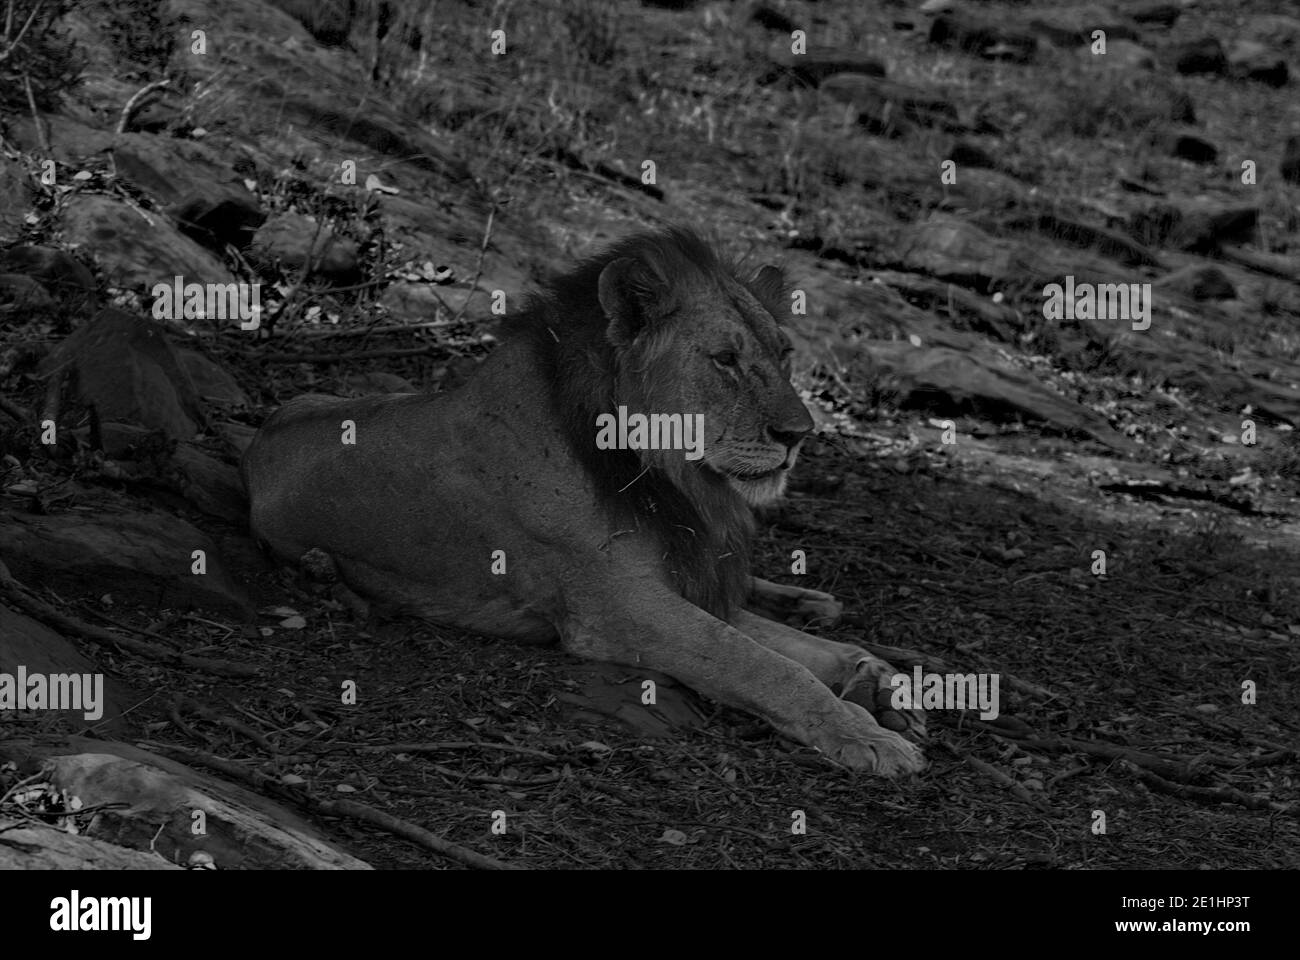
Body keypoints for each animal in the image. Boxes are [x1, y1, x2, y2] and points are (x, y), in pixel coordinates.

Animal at [242, 227, 925, 775]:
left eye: (784, 354)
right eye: (725, 360)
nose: (799, 435)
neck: (669, 477)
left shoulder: (678, 581)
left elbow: (796, 647)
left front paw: (880, 684)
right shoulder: (619, 608)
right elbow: (764, 665)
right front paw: (867, 735)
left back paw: (815, 602)